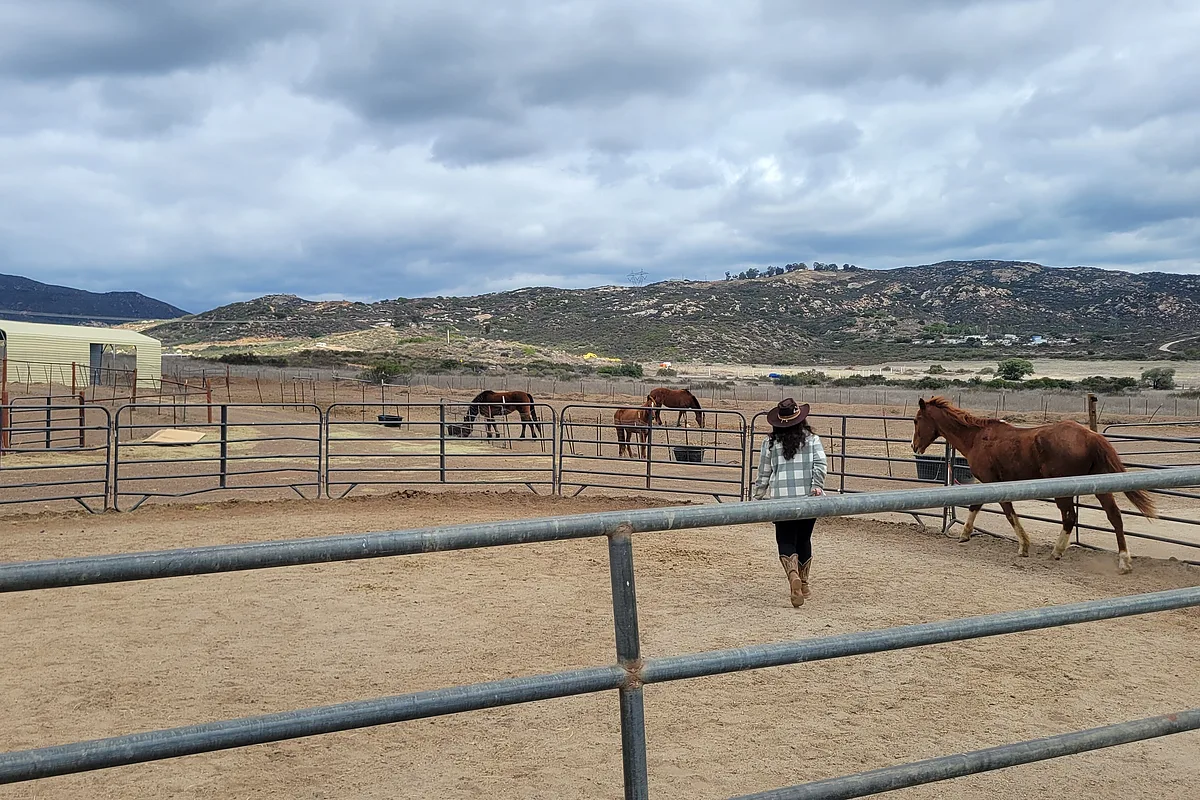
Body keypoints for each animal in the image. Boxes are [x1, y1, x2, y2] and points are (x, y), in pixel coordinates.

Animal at [911, 395, 1156, 574]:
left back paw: (1057, 552)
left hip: (1064, 490)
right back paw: (1124, 562)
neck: (977, 438)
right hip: (1099, 486)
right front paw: (964, 534)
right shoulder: (990, 483)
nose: (915, 446)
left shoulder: (993, 482)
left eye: (916, 420)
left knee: (1070, 517)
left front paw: (1023, 546)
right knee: (1114, 516)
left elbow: (1009, 513)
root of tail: (1090, 436)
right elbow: (976, 505)